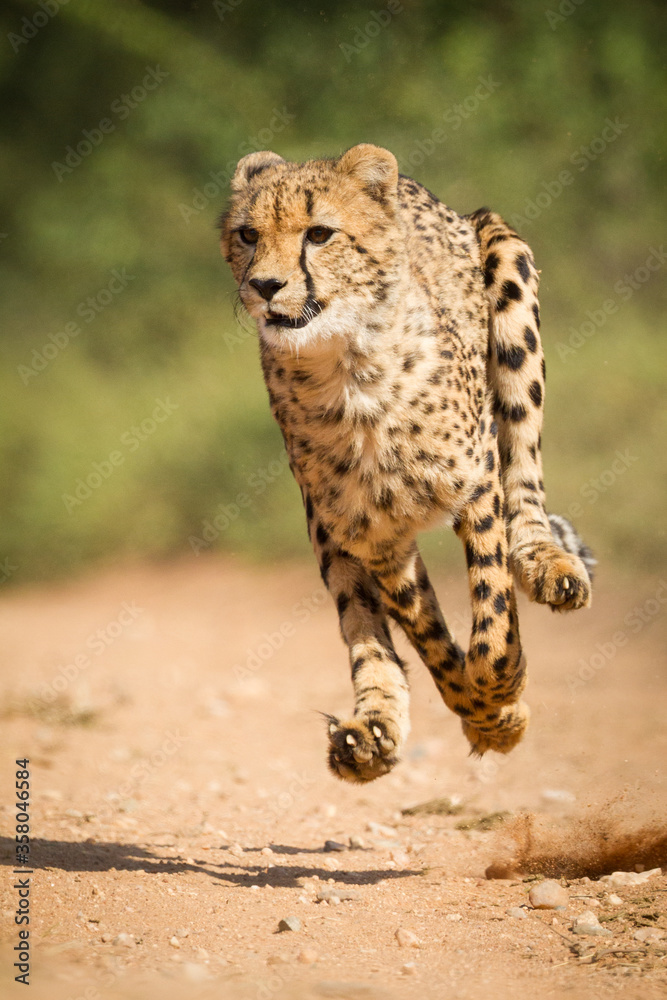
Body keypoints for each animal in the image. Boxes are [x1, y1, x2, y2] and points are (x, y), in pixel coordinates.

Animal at [219, 143, 595, 783]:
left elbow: (492, 615)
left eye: (319, 234)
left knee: (525, 475)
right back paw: (369, 731)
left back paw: (546, 562)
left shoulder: (476, 484)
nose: (265, 285)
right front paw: (489, 714)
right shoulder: (375, 536)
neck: (348, 371)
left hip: (507, 266)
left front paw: (500, 693)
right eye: (248, 234)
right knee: (362, 621)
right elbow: (429, 640)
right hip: (326, 529)